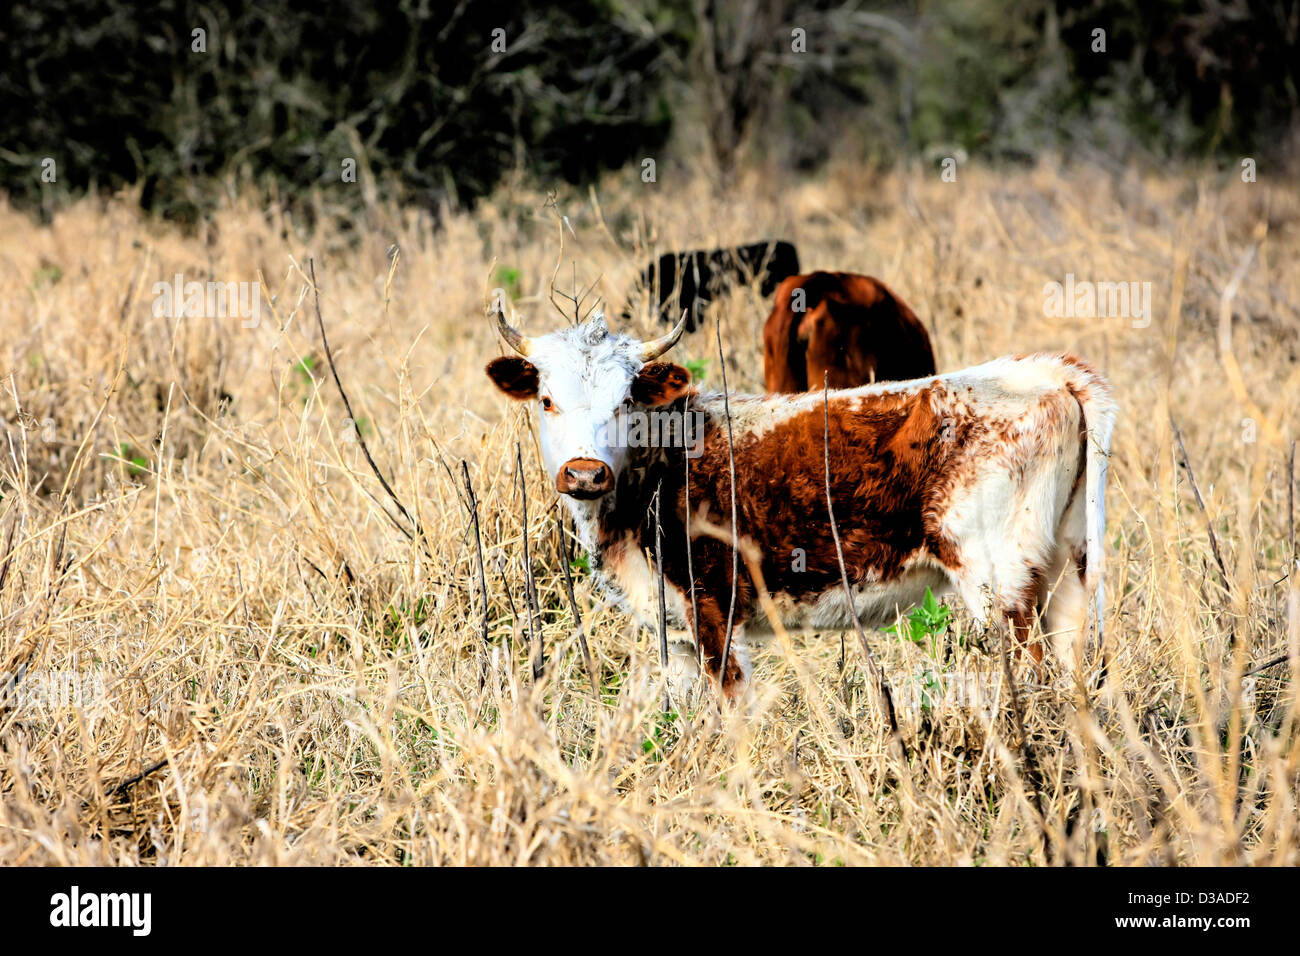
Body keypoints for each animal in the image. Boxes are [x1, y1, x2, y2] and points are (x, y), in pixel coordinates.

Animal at [485, 310, 1116, 704]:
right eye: (546, 400)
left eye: (625, 402)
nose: (585, 472)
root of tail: (1042, 372)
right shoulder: (678, 633)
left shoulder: (714, 611)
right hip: (1064, 572)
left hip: (999, 582)